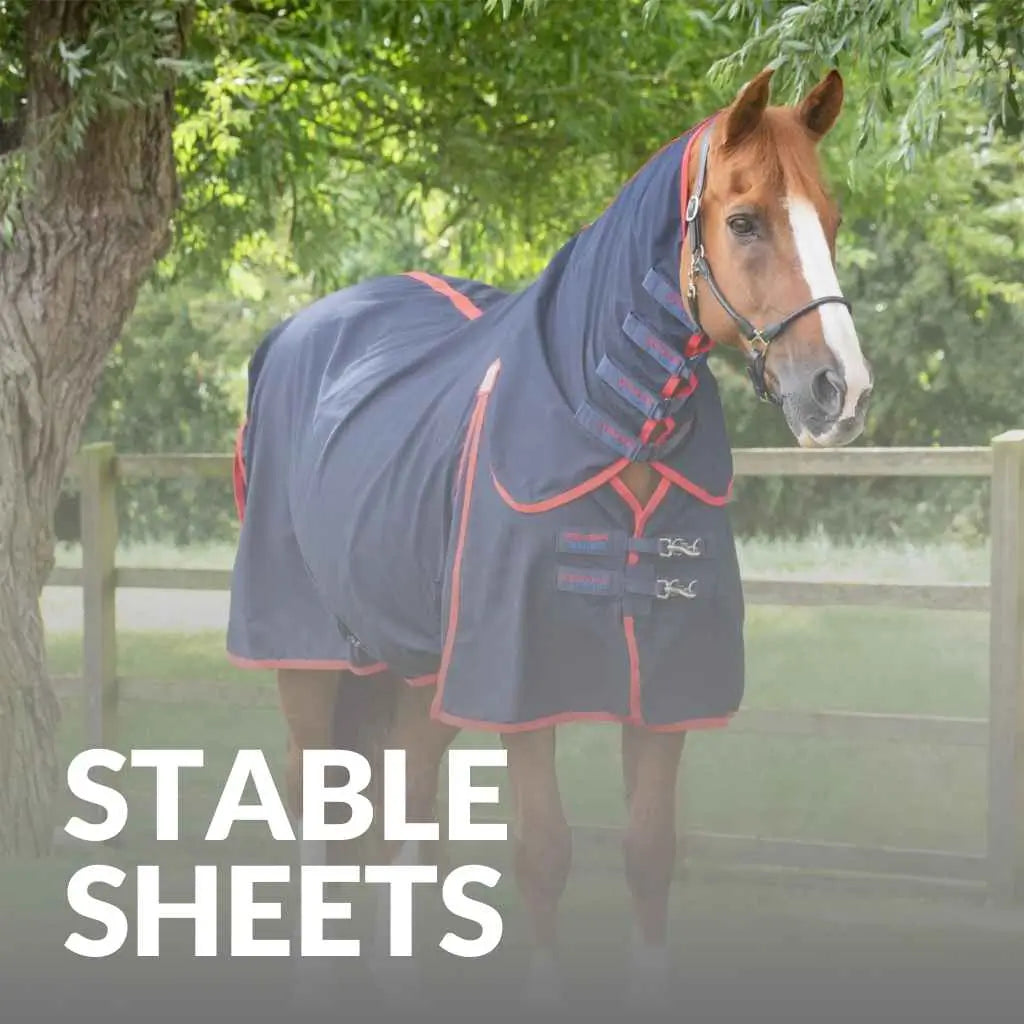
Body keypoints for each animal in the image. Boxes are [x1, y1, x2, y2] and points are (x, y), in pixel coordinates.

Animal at [226, 67, 872, 1007]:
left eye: (830, 219)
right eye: (746, 220)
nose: (841, 391)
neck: (610, 427)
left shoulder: (662, 689)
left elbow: (649, 855)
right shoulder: (520, 682)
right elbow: (544, 855)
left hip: (423, 669)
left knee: (405, 797)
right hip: (308, 658)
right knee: (315, 802)